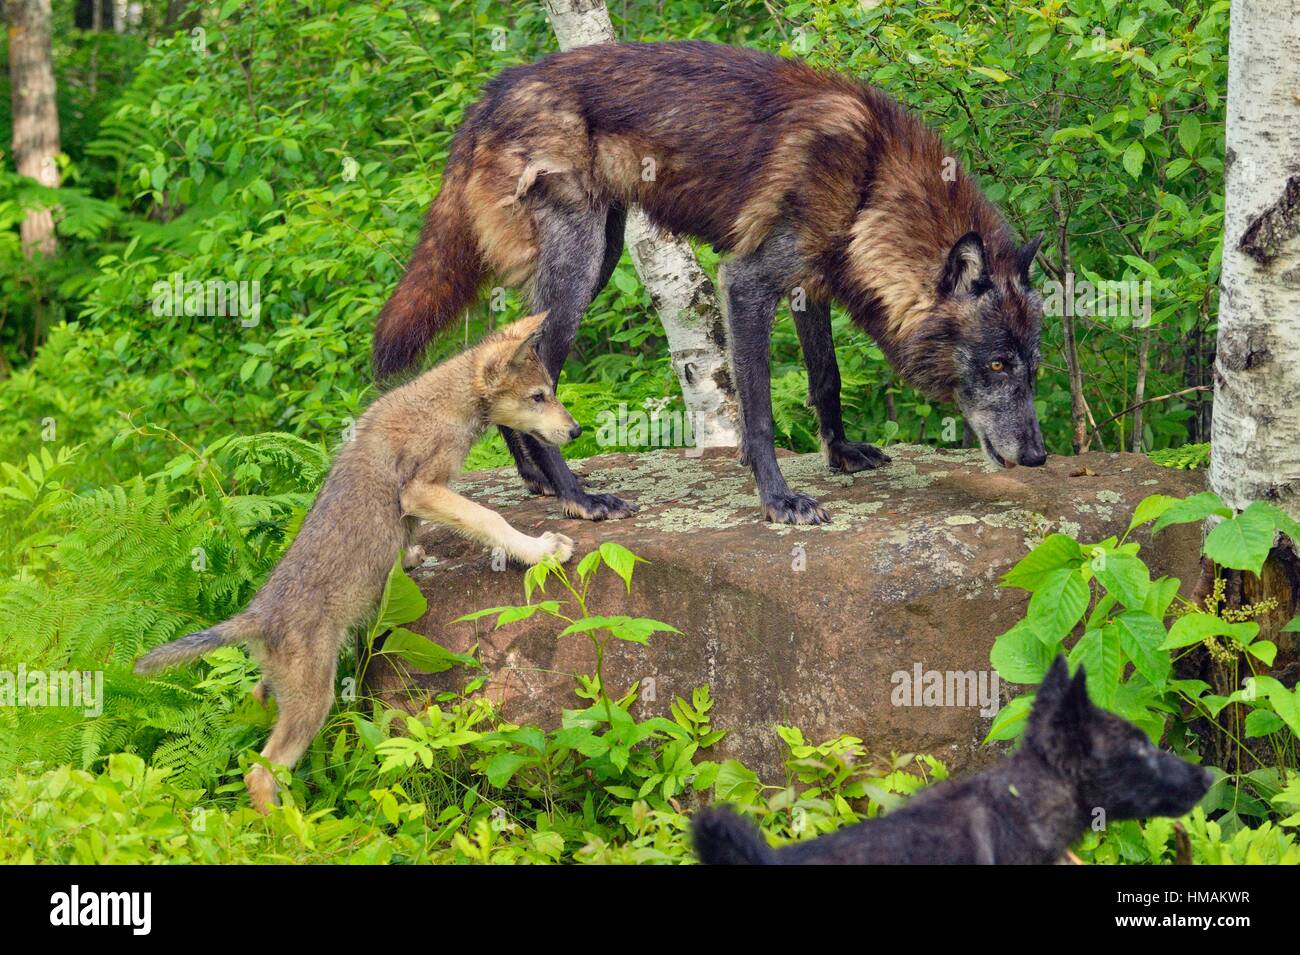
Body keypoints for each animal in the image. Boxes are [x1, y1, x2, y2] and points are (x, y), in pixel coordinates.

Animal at [134, 313, 579, 813]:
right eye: (538, 397)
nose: (577, 431)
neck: (449, 398)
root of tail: (254, 616)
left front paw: (412, 556)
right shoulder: (421, 490)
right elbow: (490, 518)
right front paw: (541, 549)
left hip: (276, 692)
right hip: (313, 700)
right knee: (259, 774)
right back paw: (289, 828)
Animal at [371, 41, 1048, 525]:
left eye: (1033, 369)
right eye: (996, 365)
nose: (1040, 457)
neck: (871, 183)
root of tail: (490, 94)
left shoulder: (810, 285)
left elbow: (825, 379)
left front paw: (840, 454)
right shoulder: (746, 283)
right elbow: (760, 412)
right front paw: (779, 499)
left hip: (598, 256)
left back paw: (537, 480)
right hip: (582, 269)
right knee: (538, 369)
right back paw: (577, 496)